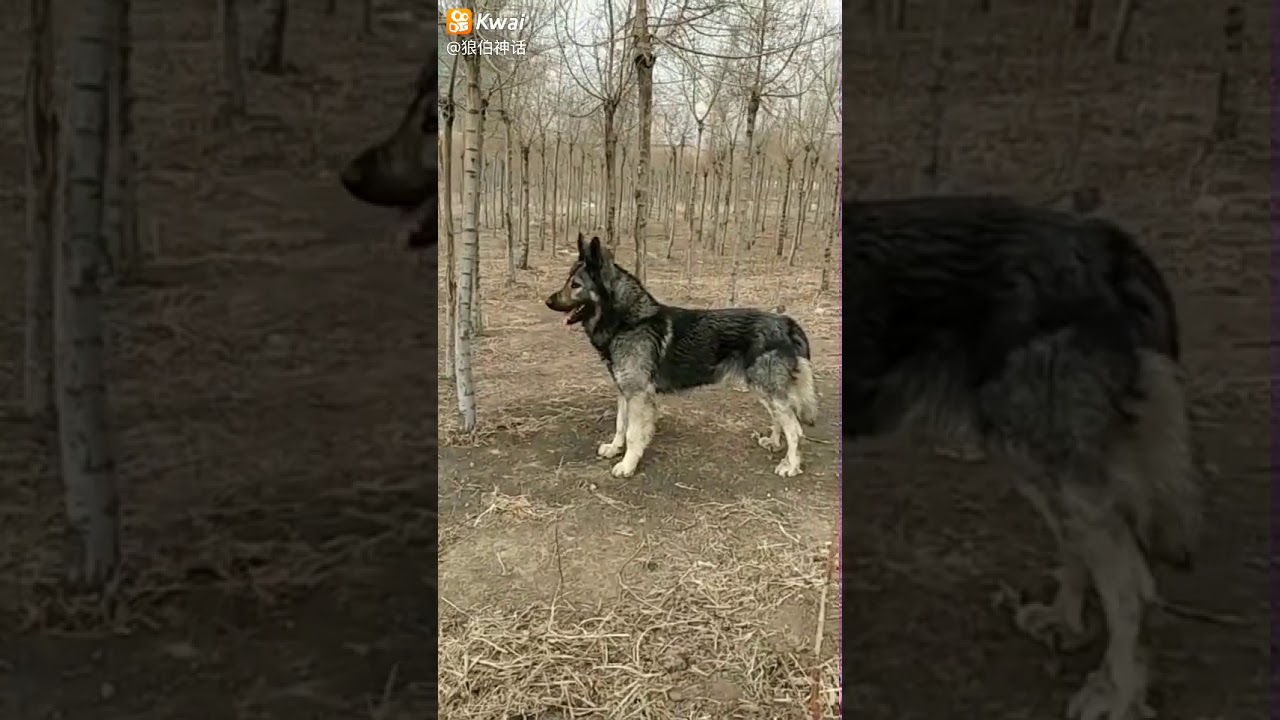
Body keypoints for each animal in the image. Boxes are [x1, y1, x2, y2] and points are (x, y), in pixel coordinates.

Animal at [545, 234, 820, 479]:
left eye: (575, 285)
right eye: (568, 281)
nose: (547, 301)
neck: (627, 321)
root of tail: (786, 322)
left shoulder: (638, 394)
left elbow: (633, 433)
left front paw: (628, 465)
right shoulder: (624, 391)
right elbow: (620, 425)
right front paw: (615, 448)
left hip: (767, 390)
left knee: (795, 429)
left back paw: (791, 466)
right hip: (763, 391)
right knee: (779, 419)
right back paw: (774, 443)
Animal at [843, 195, 1200, 720]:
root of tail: (1104, 238)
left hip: (1049, 461)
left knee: (1129, 586)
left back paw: (1117, 694)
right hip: (1032, 462)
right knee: (1080, 550)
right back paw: (1065, 622)